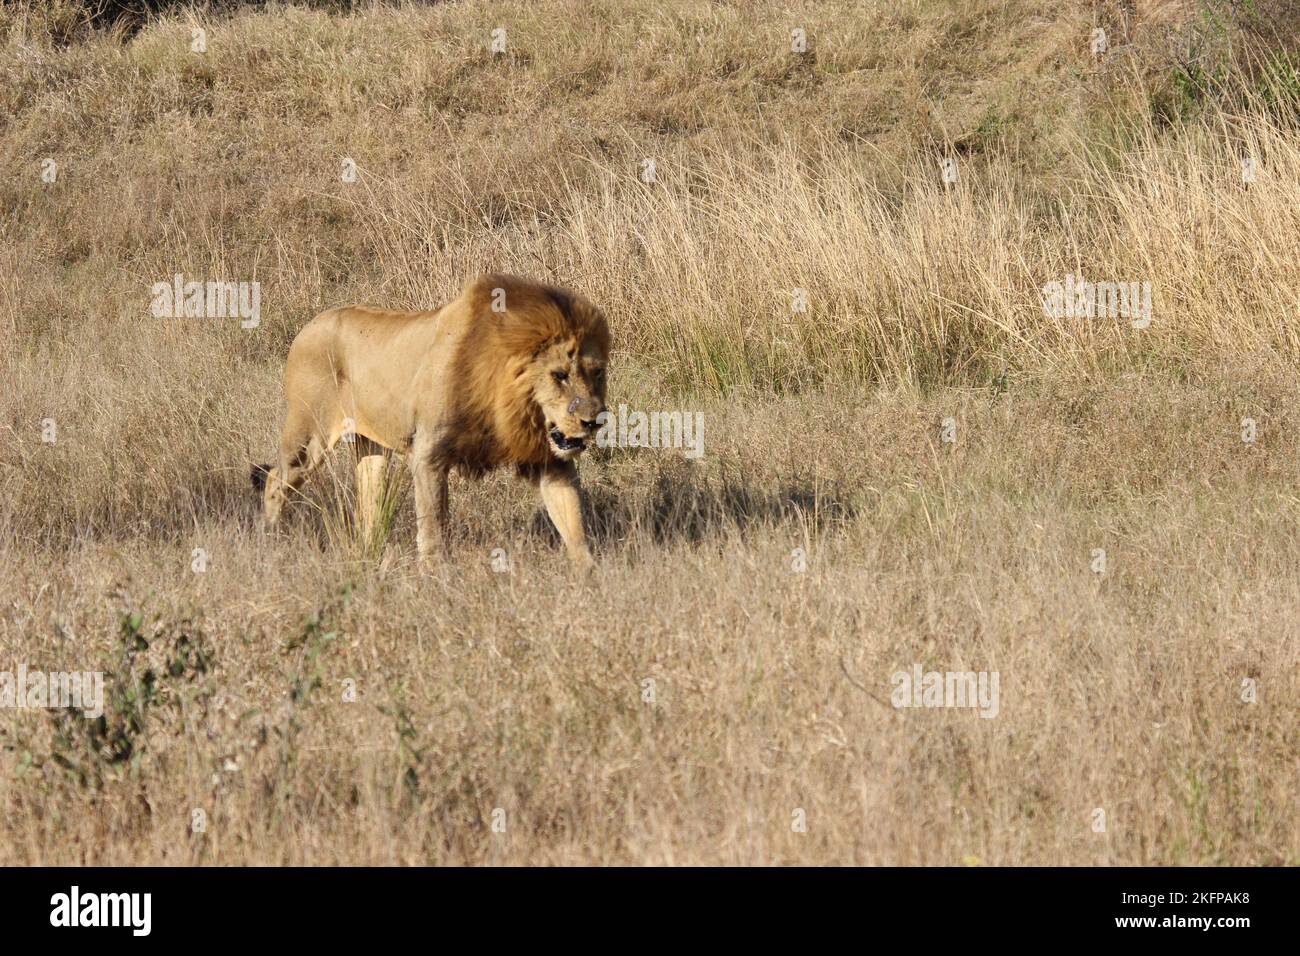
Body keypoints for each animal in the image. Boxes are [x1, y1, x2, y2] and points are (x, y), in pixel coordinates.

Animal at [254, 274, 610, 569]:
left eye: (597, 373)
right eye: (559, 375)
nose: (594, 421)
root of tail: (311, 323)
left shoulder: (551, 461)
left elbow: (573, 524)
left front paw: (589, 580)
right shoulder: (428, 455)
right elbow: (434, 526)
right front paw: (436, 579)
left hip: (371, 448)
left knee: (369, 505)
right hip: (308, 437)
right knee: (275, 480)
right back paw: (271, 540)